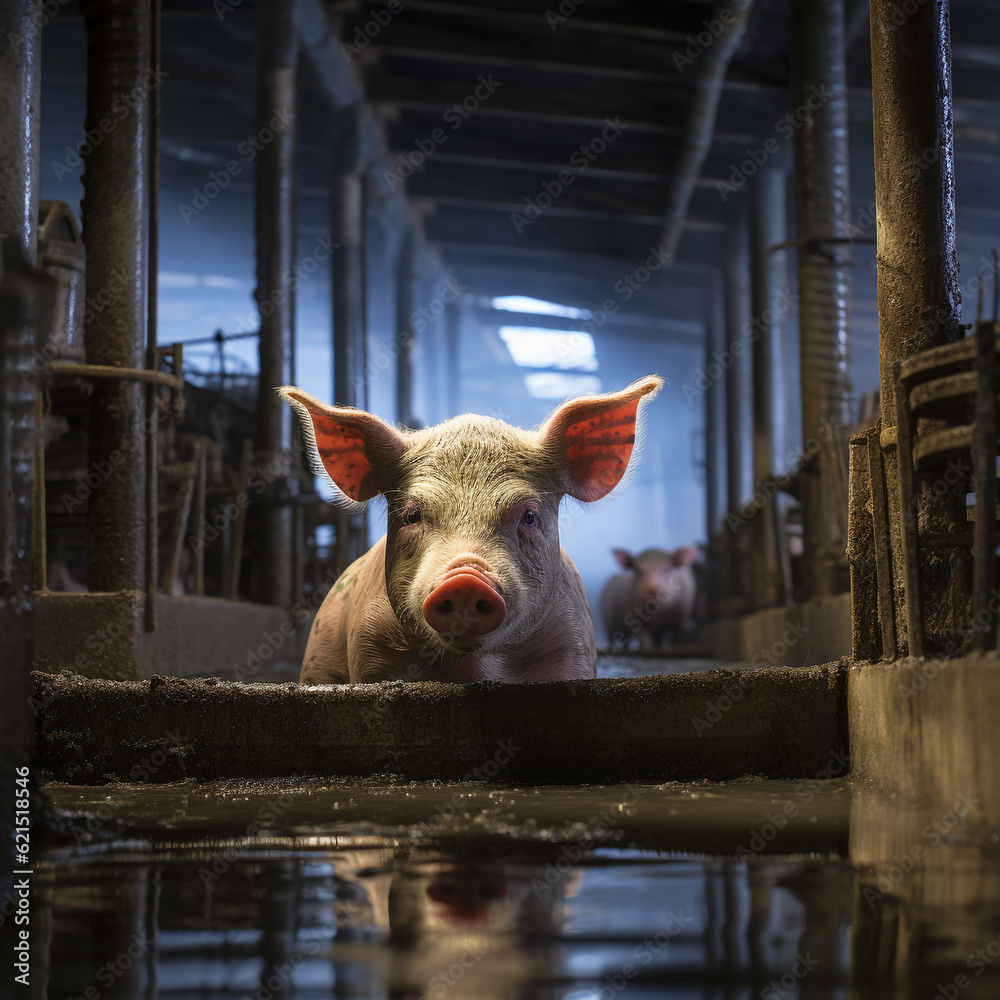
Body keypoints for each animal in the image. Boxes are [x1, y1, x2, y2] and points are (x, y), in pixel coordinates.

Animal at [279, 376, 662, 683]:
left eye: (529, 516)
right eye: (412, 515)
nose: (465, 579)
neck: (472, 668)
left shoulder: (572, 643)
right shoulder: (369, 645)